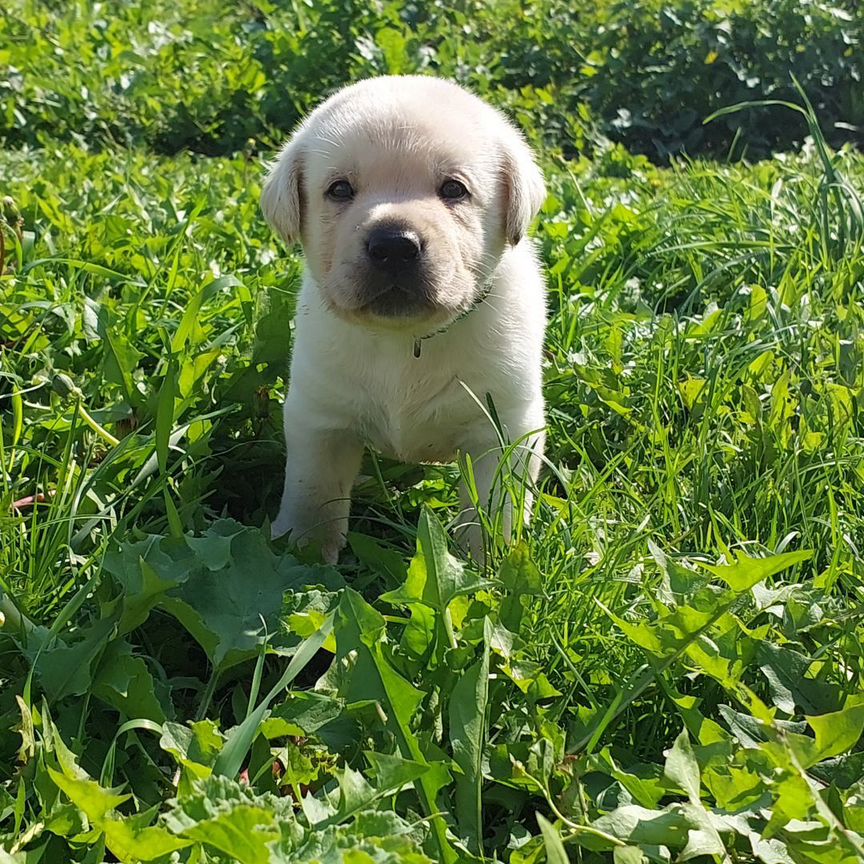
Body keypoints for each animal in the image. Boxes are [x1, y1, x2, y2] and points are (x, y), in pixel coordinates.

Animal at [262, 76, 548, 568]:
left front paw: (488, 561)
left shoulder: (504, 425)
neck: (405, 341)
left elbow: (494, 504)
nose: (394, 244)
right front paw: (302, 552)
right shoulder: (319, 416)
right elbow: (312, 489)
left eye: (454, 189)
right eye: (340, 189)